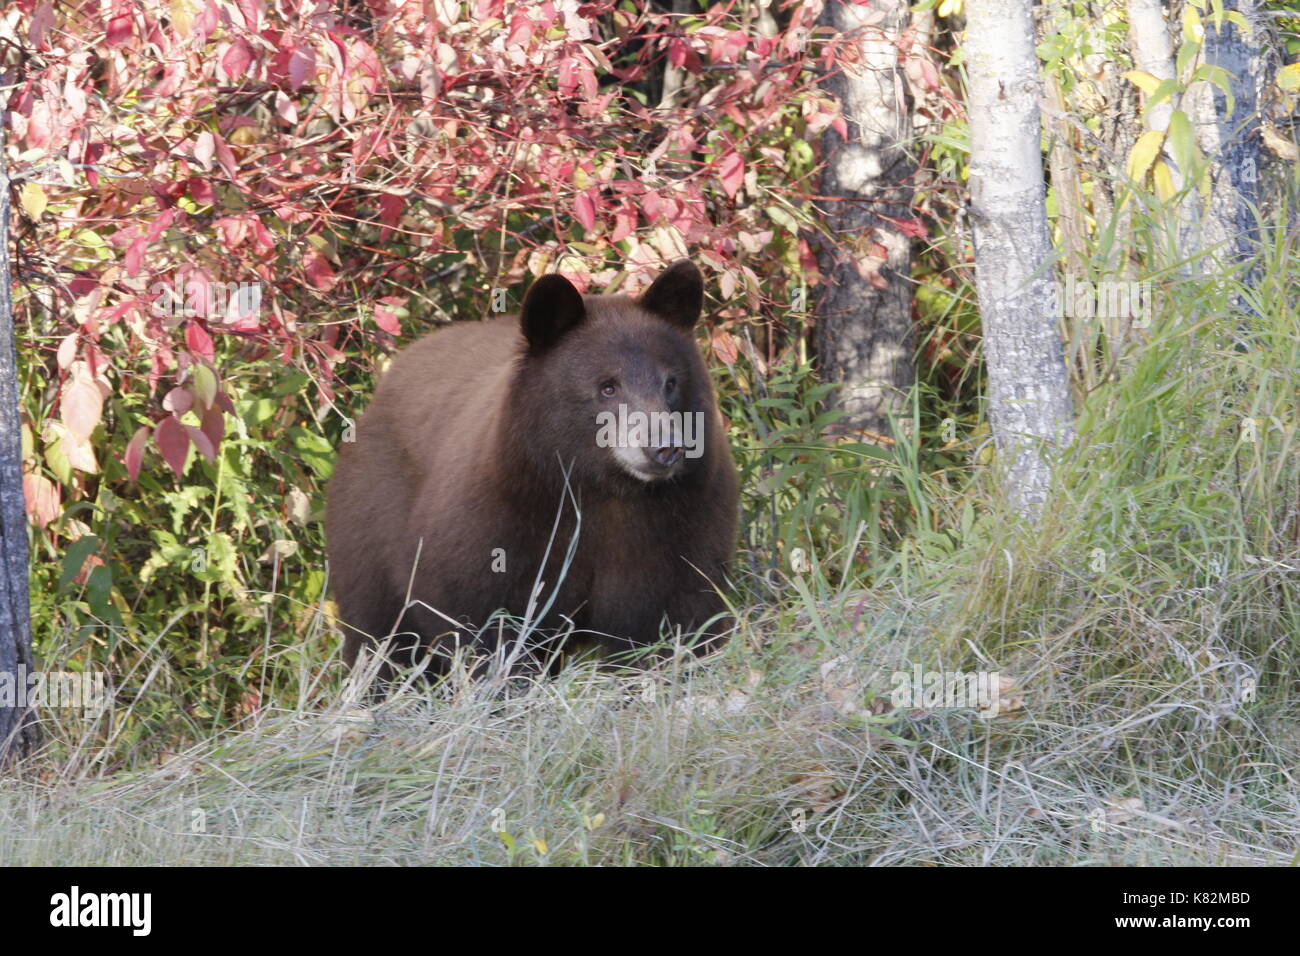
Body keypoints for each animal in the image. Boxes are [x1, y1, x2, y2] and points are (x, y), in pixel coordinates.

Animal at [325, 259, 739, 680]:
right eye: (607, 386)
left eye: (670, 382)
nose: (665, 447)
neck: (602, 491)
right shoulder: (496, 524)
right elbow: (483, 622)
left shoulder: (681, 523)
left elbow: (673, 620)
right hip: (368, 524)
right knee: (379, 636)